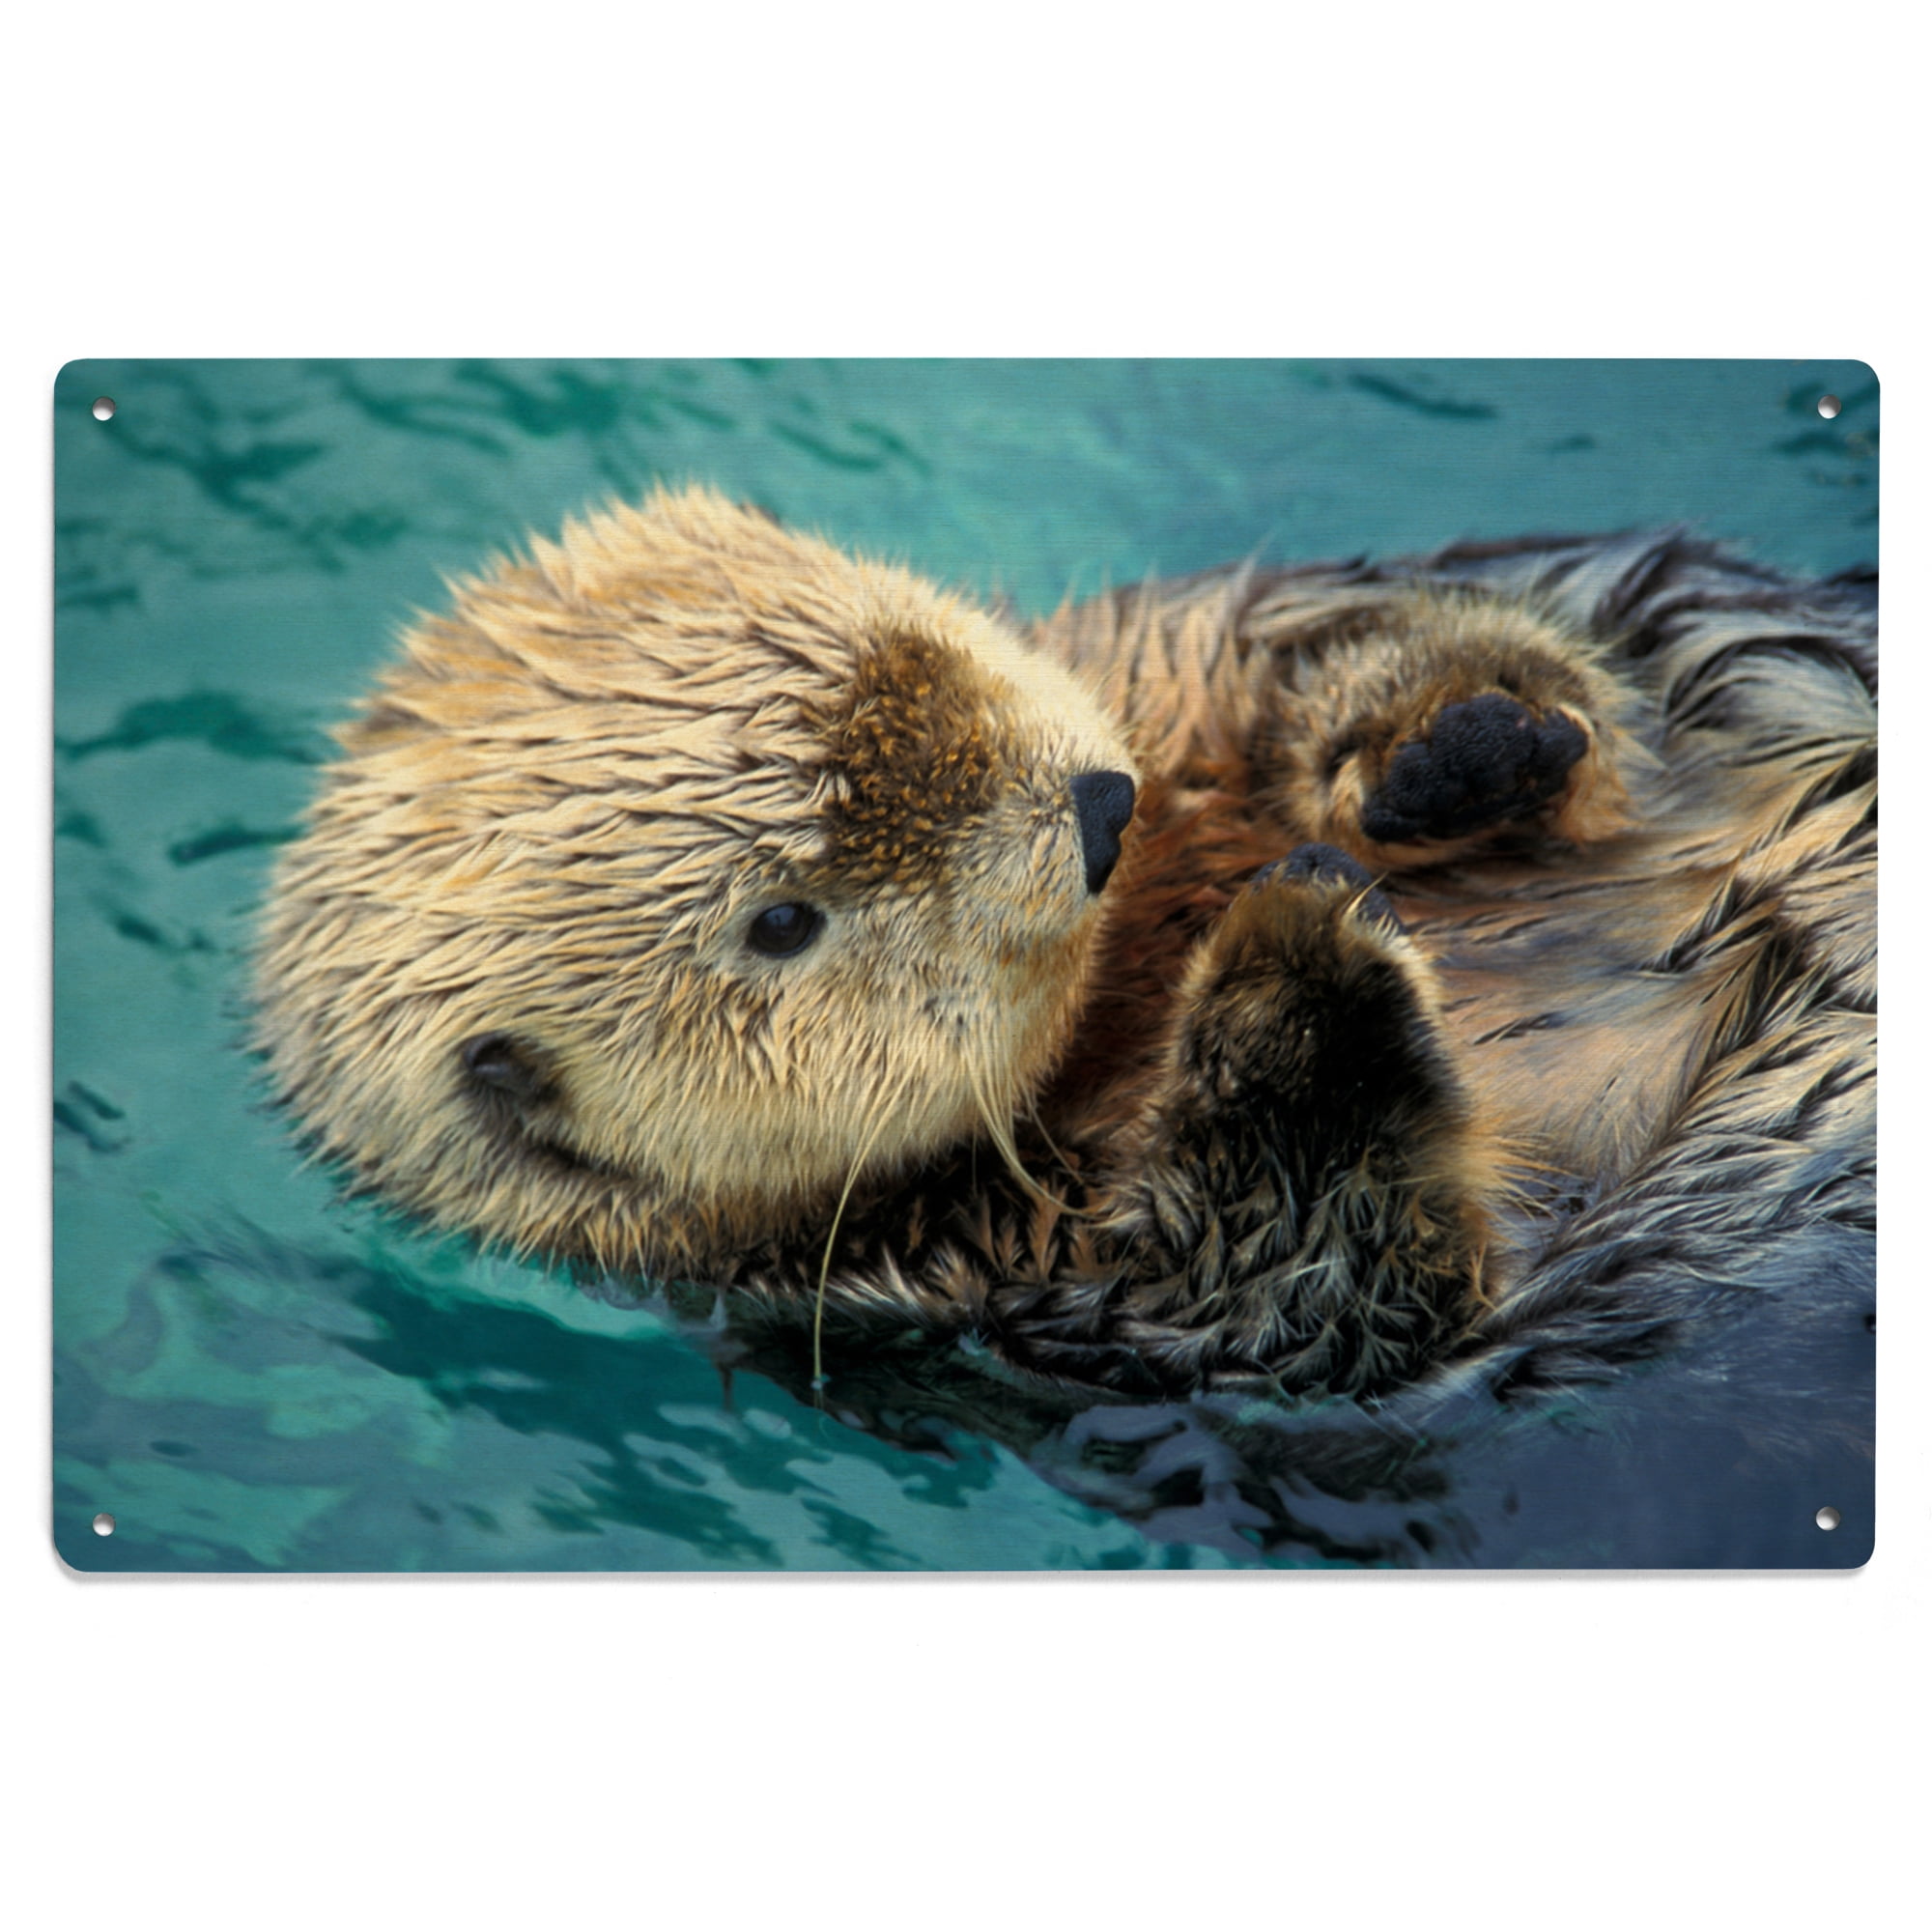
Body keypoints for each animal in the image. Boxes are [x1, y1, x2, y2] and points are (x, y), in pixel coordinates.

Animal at [254, 488, 1875, 1399]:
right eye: (783, 921)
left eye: (937, 654)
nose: (1099, 812)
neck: (1143, 949)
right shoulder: (1023, 1280)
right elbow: (1318, 1277)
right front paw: (1295, 977)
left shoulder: (1179, 657)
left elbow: (1437, 648)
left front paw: (1455, 744)